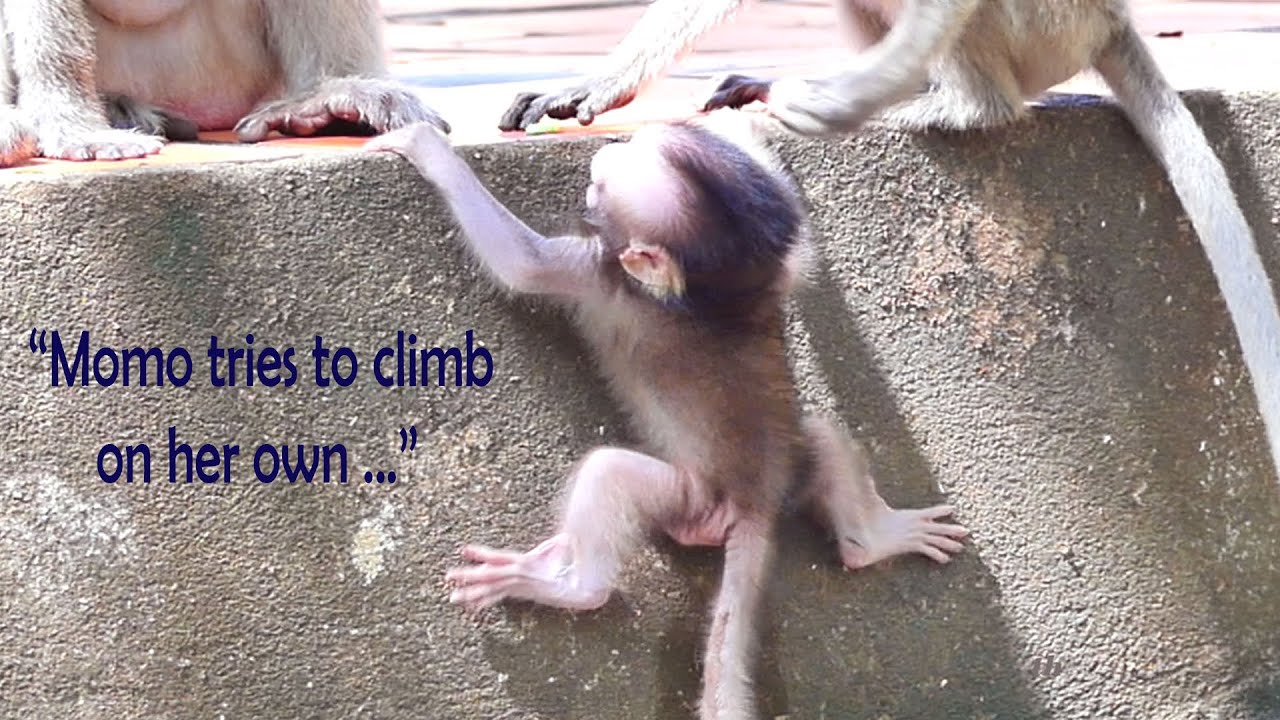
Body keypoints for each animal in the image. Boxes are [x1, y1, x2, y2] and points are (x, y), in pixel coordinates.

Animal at [365, 113, 968, 719]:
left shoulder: (601, 274)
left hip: (690, 502)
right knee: (822, 433)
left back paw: (571, 586)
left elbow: (522, 264)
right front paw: (744, 121)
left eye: (603, 185)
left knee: (611, 475)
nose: (607, 151)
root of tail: (756, 498)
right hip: (781, 464)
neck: (708, 295)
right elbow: (798, 249)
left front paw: (424, 147)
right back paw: (873, 538)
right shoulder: (767, 274)